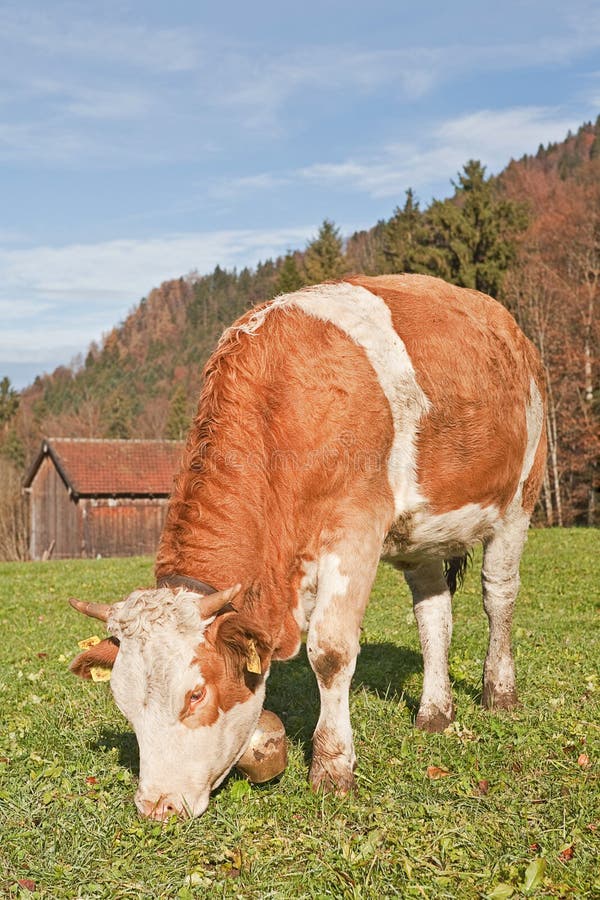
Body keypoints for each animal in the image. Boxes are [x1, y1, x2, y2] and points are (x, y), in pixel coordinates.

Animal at [69, 274, 547, 820]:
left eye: (195, 695)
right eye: (124, 705)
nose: (156, 806)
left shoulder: (356, 526)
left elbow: (331, 653)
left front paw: (333, 768)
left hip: (519, 497)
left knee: (499, 595)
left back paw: (500, 692)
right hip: (420, 536)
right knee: (434, 615)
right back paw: (433, 710)